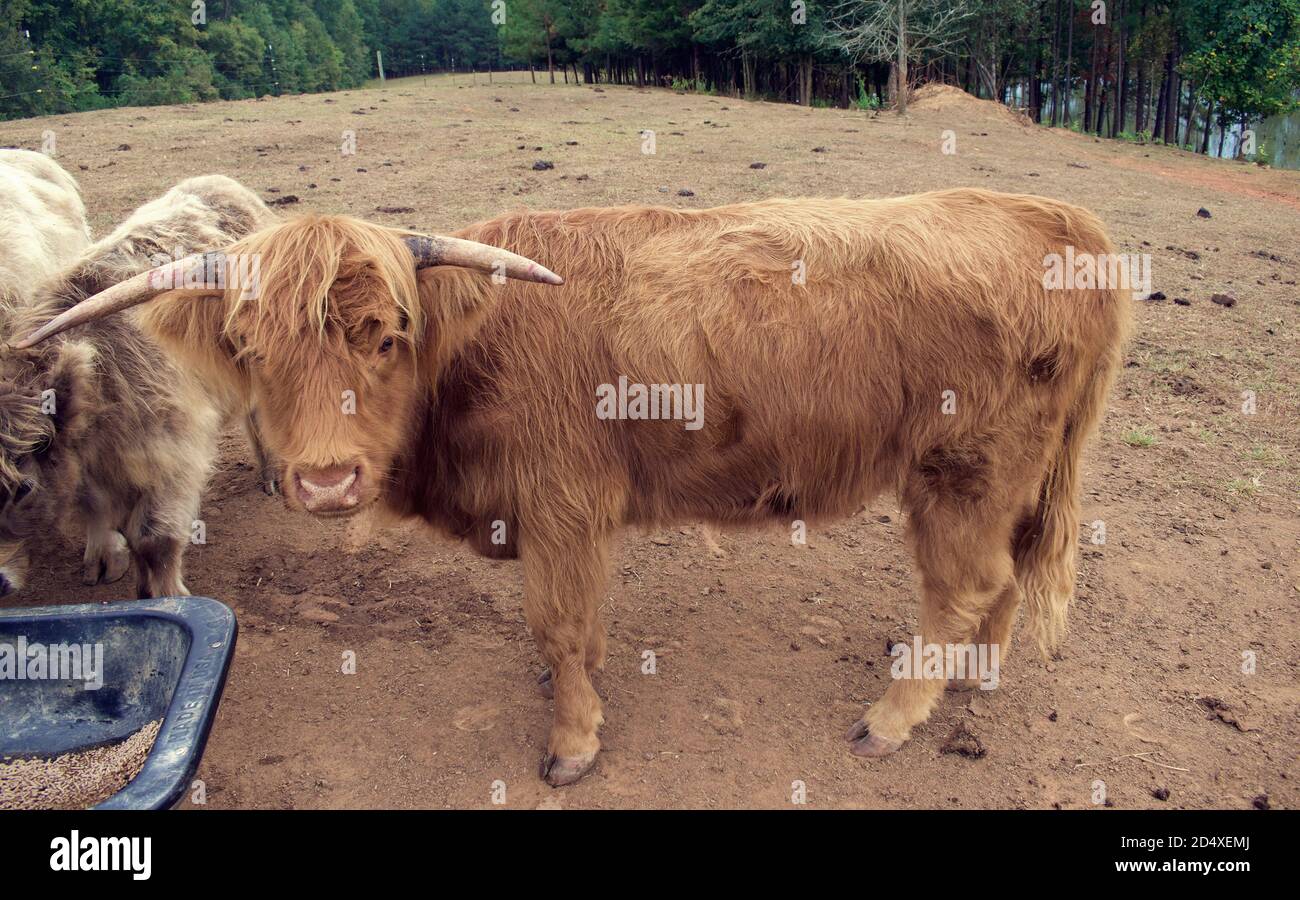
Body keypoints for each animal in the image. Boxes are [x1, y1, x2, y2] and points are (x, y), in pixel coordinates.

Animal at [0, 175, 275, 599]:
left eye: (23, 489)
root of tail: (221, 183)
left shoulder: (172, 458)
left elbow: (153, 540)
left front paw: (167, 598)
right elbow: (101, 516)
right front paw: (104, 562)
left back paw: (272, 475)